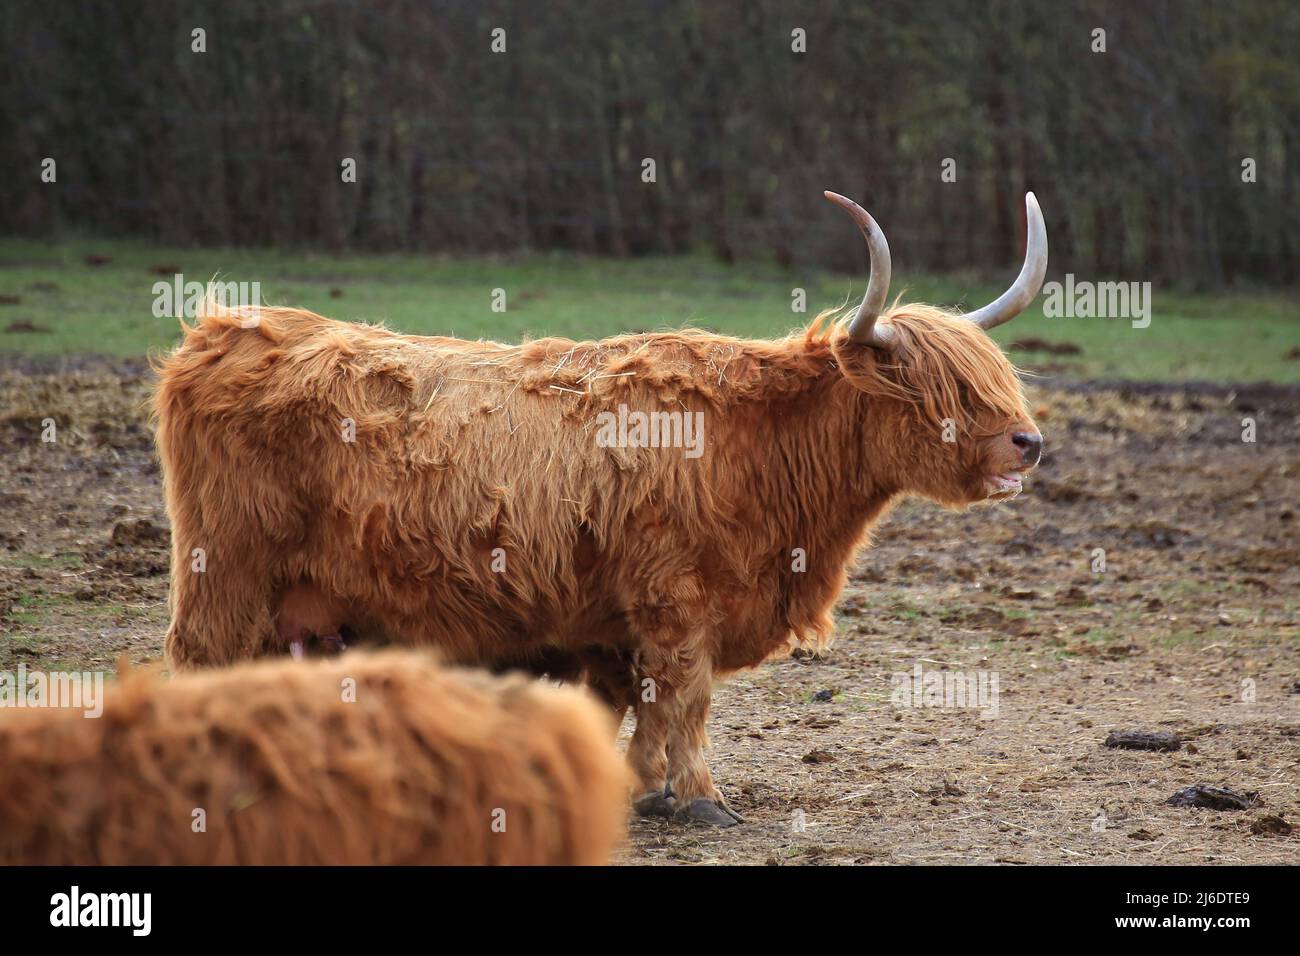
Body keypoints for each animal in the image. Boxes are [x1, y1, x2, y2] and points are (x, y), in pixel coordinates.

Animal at [153, 190, 1048, 826]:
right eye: (937, 389)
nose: (1029, 443)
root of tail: (228, 328)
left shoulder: (617, 619)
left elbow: (640, 704)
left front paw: (641, 790)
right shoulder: (675, 598)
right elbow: (684, 694)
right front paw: (701, 799)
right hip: (225, 572)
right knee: (197, 660)